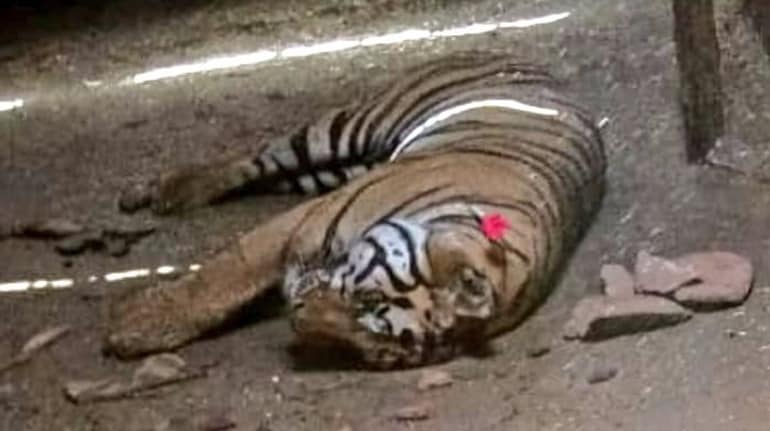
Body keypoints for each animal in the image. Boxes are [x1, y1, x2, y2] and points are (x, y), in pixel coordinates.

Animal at [105, 51, 606, 369]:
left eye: (373, 348)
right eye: (368, 301)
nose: (297, 316)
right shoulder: (300, 221)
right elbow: (224, 275)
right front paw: (135, 327)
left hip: (338, 166)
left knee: (274, 172)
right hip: (349, 128)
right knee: (261, 157)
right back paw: (172, 192)